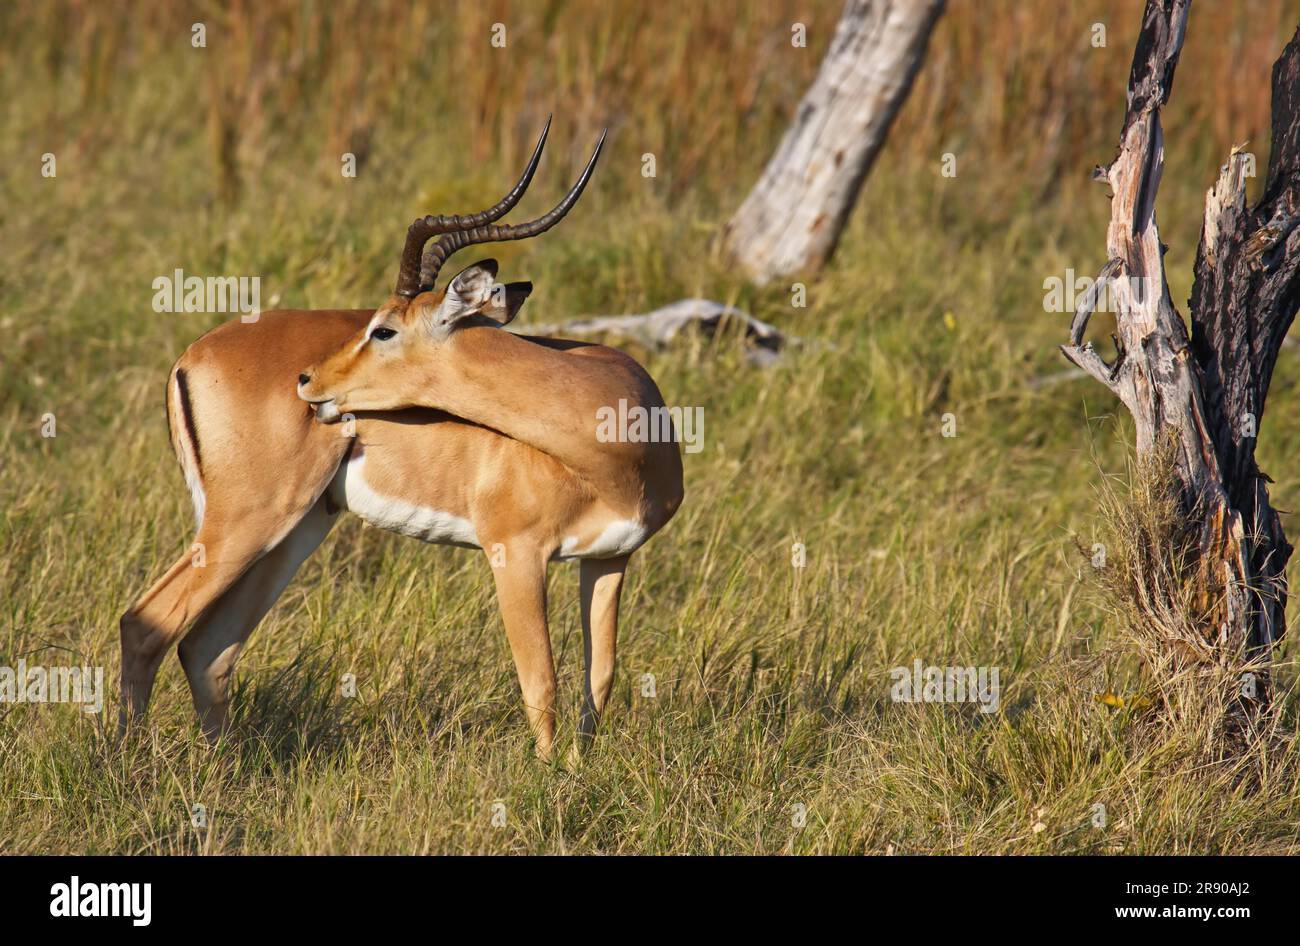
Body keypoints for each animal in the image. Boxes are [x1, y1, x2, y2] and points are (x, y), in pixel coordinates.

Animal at [119, 123, 684, 760]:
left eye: (384, 329)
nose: (308, 380)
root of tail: (191, 357)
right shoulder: (515, 554)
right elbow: (541, 682)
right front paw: (551, 779)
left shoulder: (611, 557)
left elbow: (600, 676)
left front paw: (576, 768)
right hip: (247, 520)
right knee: (147, 624)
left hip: (295, 529)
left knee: (207, 648)